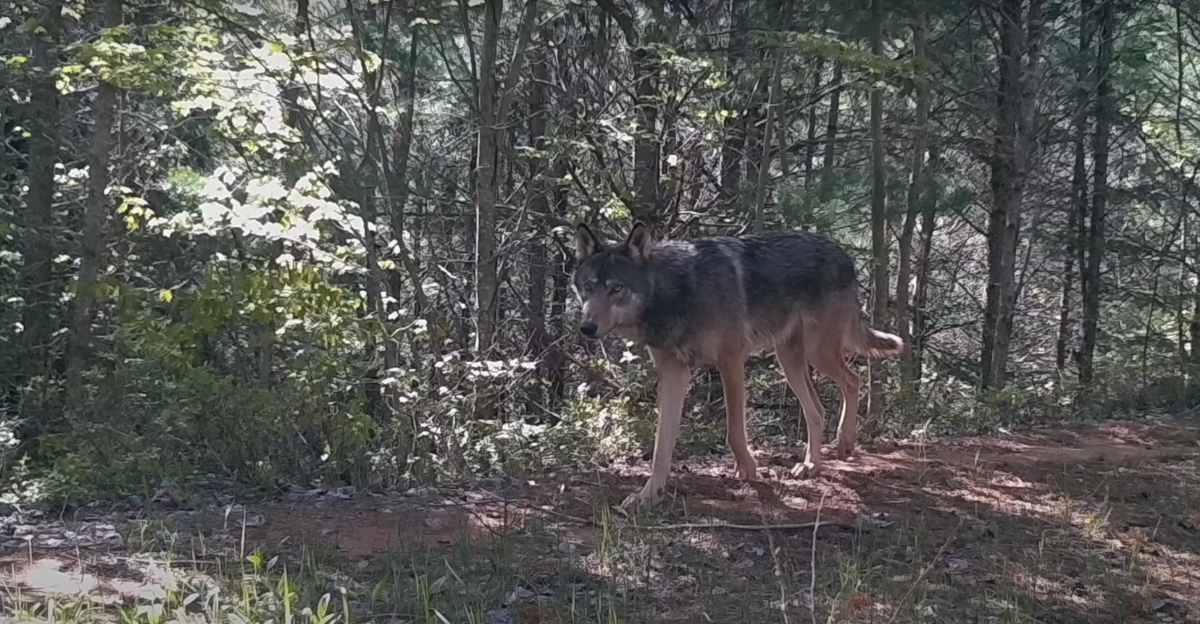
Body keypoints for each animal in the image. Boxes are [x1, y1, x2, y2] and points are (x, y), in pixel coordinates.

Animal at [572, 221, 904, 511]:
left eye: (616, 288)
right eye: (588, 287)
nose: (586, 327)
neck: (677, 290)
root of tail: (841, 251)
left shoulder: (730, 360)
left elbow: (733, 429)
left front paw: (747, 469)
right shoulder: (674, 372)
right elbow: (660, 447)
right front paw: (649, 495)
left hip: (817, 353)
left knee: (853, 380)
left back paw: (844, 443)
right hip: (790, 361)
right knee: (818, 409)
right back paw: (811, 465)